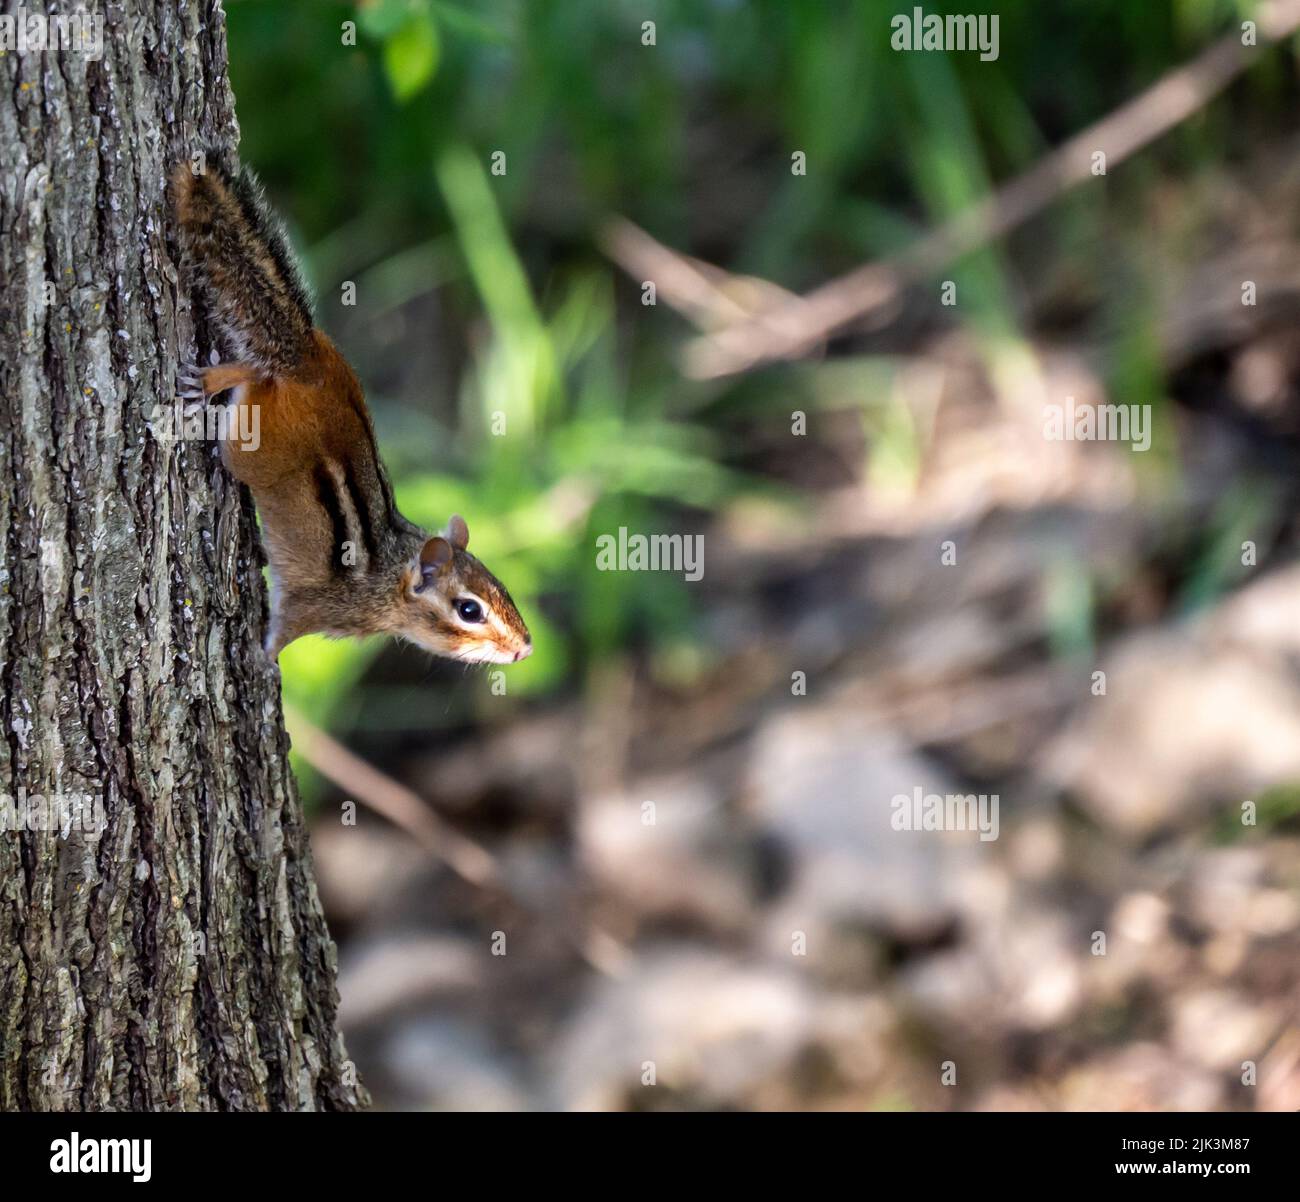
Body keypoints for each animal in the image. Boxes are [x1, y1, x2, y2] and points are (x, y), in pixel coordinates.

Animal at [171, 153, 532, 665]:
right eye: (469, 610)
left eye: (502, 587)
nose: (525, 648)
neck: (390, 579)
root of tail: (306, 357)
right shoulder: (311, 607)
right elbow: (277, 637)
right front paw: (260, 661)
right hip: (246, 448)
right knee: (252, 377)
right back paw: (209, 381)